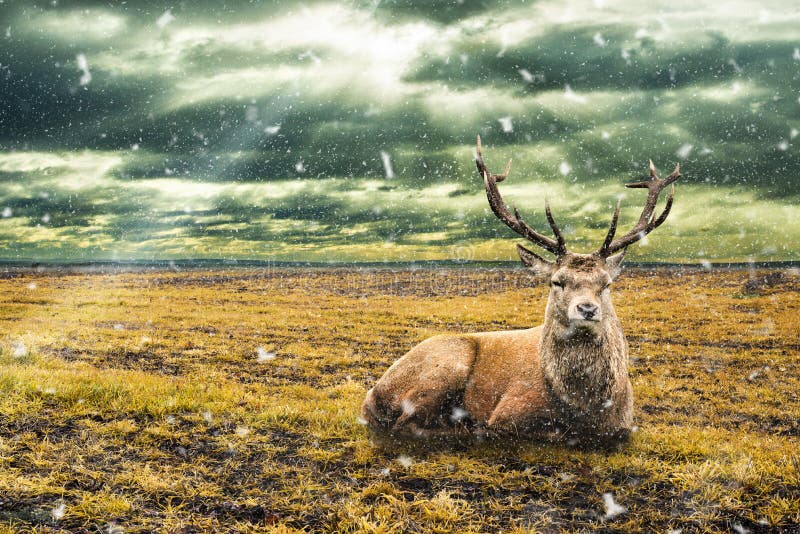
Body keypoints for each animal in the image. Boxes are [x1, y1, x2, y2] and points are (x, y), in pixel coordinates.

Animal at [360, 136, 680, 446]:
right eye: (557, 281)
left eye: (607, 284)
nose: (587, 309)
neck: (583, 406)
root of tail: (371, 396)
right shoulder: (510, 408)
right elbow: (536, 431)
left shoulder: (625, 423)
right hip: (447, 363)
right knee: (405, 423)